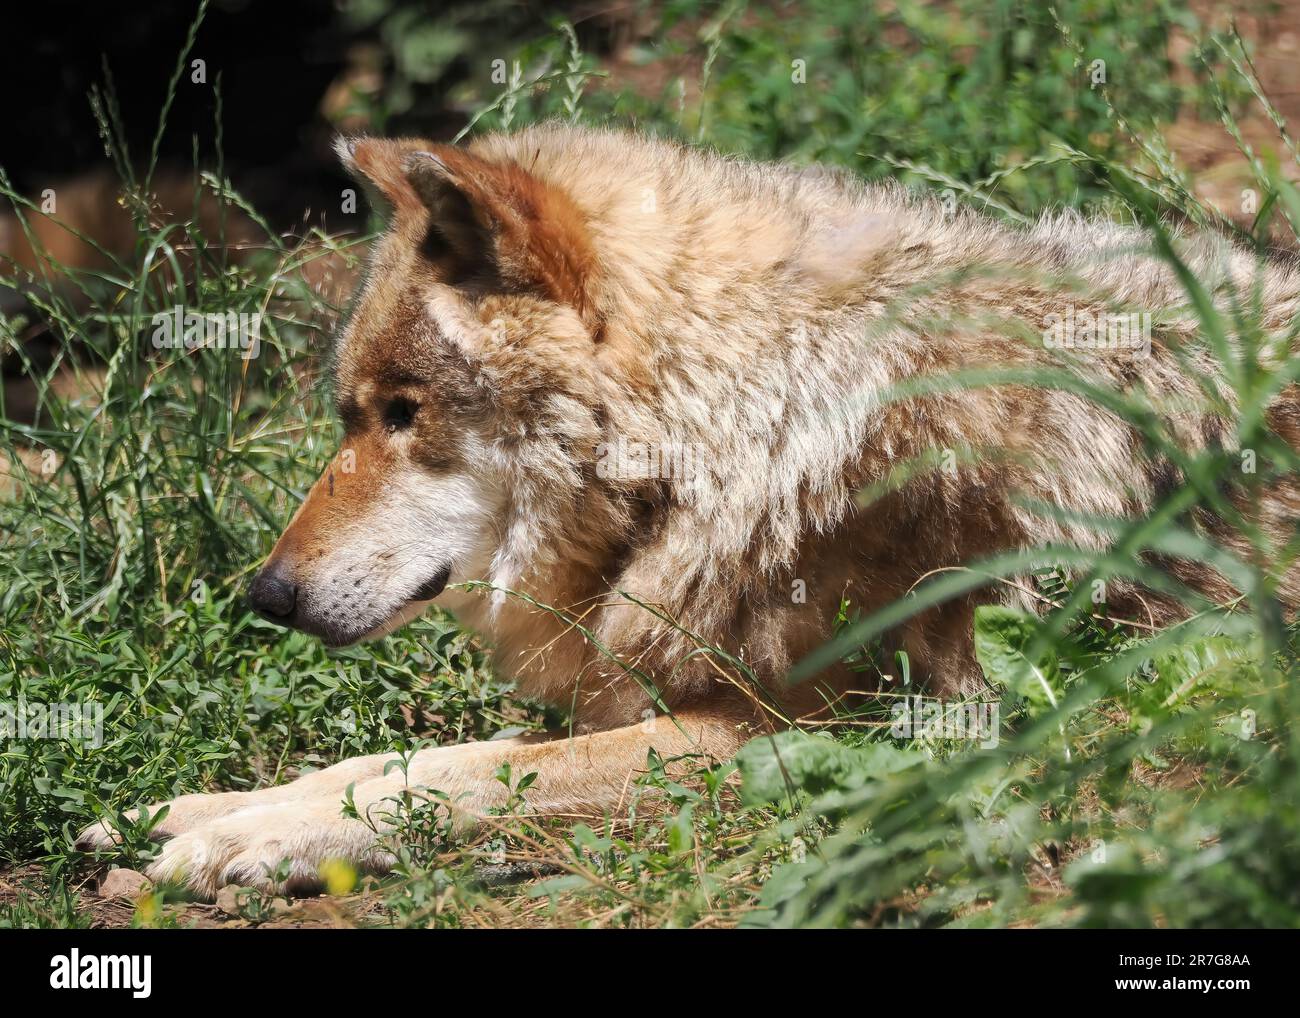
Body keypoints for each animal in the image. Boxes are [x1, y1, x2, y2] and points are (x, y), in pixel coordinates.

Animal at [78, 123, 1300, 896]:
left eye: (402, 413)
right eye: (353, 412)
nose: (265, 596)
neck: (740, 420)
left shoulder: (794, 733)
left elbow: (458, 774)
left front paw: (239, 843)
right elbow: (389, 761)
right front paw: (197, 812)